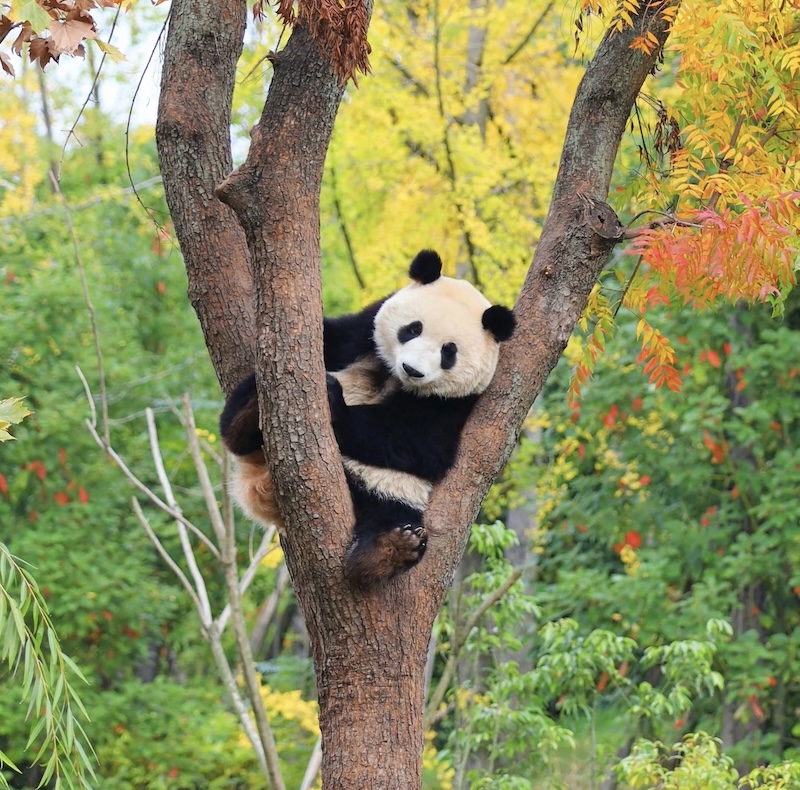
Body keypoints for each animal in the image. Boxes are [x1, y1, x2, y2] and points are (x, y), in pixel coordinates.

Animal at [219, 250, 515, 588]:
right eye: (413, 329)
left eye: (448, 352)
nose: (412, 369)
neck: (395, 379)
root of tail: (260, 487)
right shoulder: (363, 333)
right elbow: (332, 336)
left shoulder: (456, 405)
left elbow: (417, 443)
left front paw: (336, 404)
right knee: (237, 422)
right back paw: (247, 414)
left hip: (390, 490)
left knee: (388, 513)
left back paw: (388, 550)